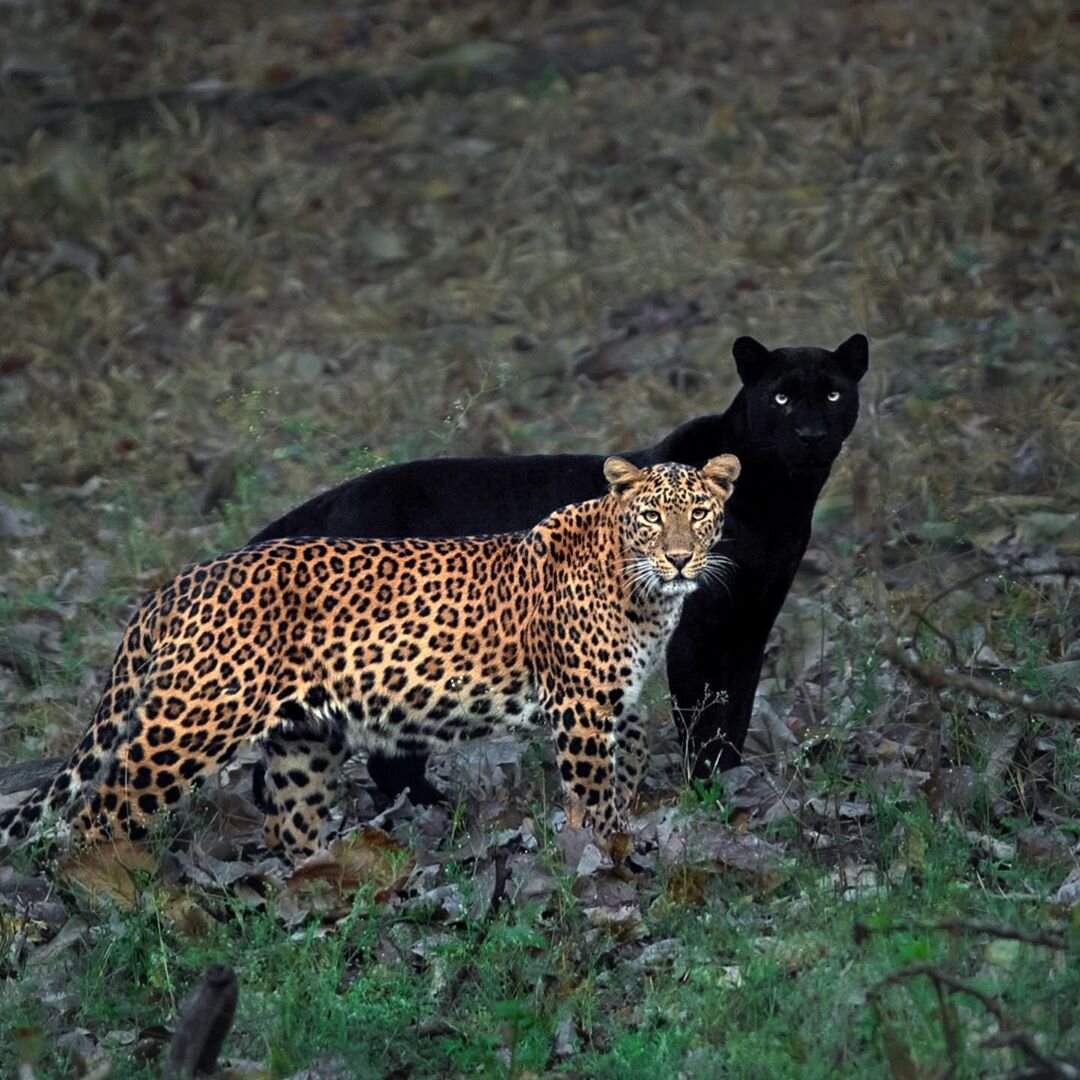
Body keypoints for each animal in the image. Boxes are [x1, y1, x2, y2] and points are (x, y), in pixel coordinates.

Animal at [0, 453, 738, 859]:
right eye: (651, 516)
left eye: (700, 513)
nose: (679, 558)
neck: (644, 591)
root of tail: (174, 585)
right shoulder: (582, 708)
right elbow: (595, 794)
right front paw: (608, 858)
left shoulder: (617, 704)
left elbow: (625, 770)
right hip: (192, 724)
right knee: (96, 813)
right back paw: (112, 893)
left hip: (303, 738)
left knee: (289, 825)